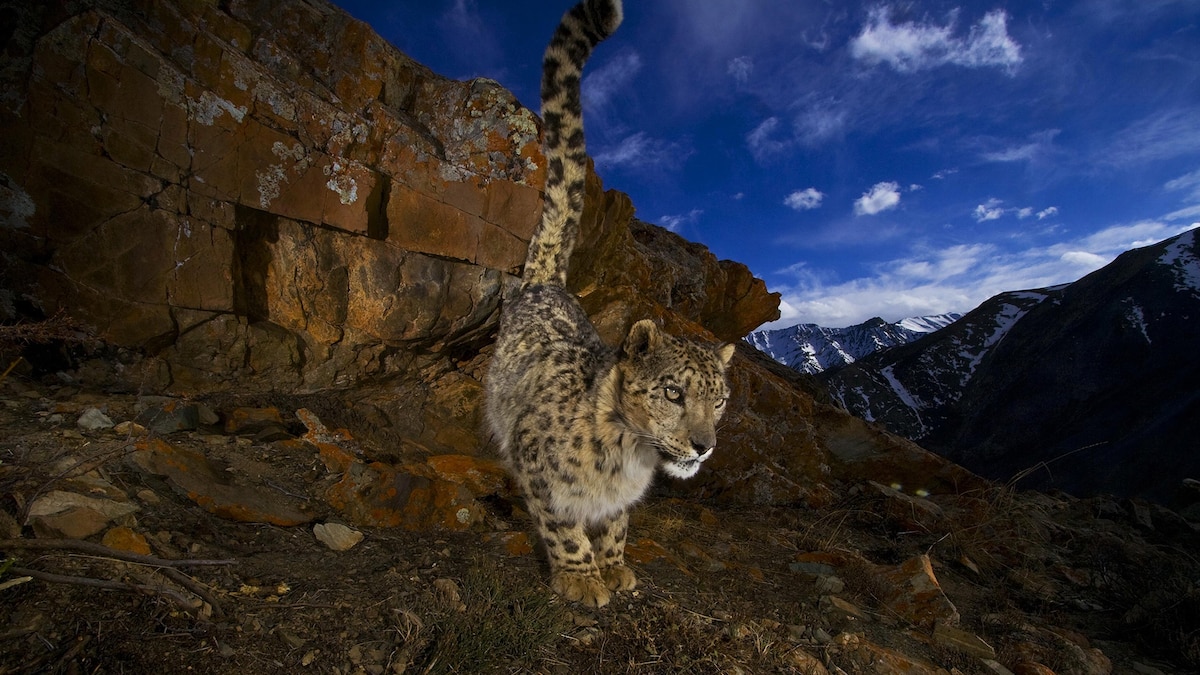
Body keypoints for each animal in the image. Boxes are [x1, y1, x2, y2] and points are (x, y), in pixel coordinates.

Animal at [484, 0, 736, 608]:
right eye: (673, 392)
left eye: (719, 401)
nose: (703, 447)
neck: (631, 458)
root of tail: (546, 285)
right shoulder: (537, 466)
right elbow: (562, 523)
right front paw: (581, 578)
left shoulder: (622, 499)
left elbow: (616, 521)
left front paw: (616, 566)